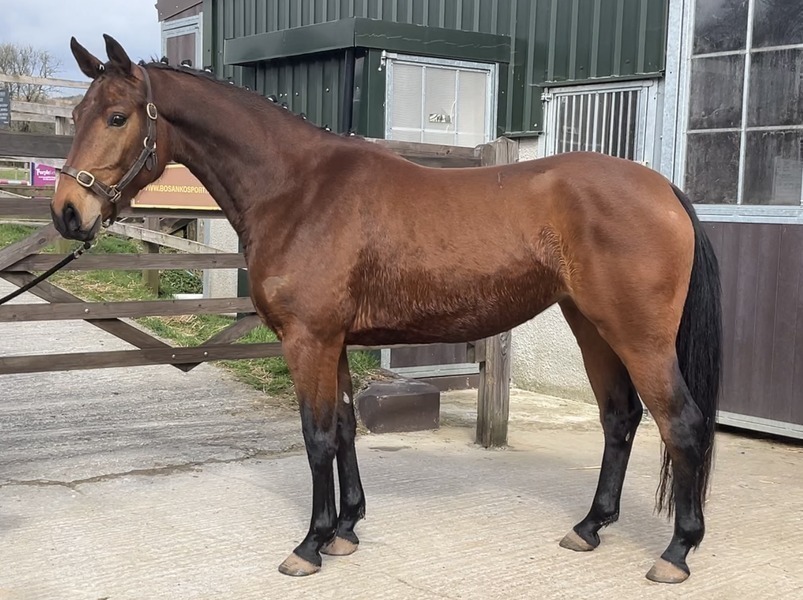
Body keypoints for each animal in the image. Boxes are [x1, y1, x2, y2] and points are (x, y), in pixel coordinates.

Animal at [51, 35, 722, 585]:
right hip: (592, 327)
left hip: (638, 336)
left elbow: (317, 436)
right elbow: (346, 427)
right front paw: (346, 531)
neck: (297, 189)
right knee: (619, 418)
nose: (67, 214)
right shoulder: (334, 341)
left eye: (117, 116)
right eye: (77, 115)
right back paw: (589, 528)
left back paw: (676, 553)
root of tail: (663, 188)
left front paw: (310, 544)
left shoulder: (308, 340)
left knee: (681, 424)